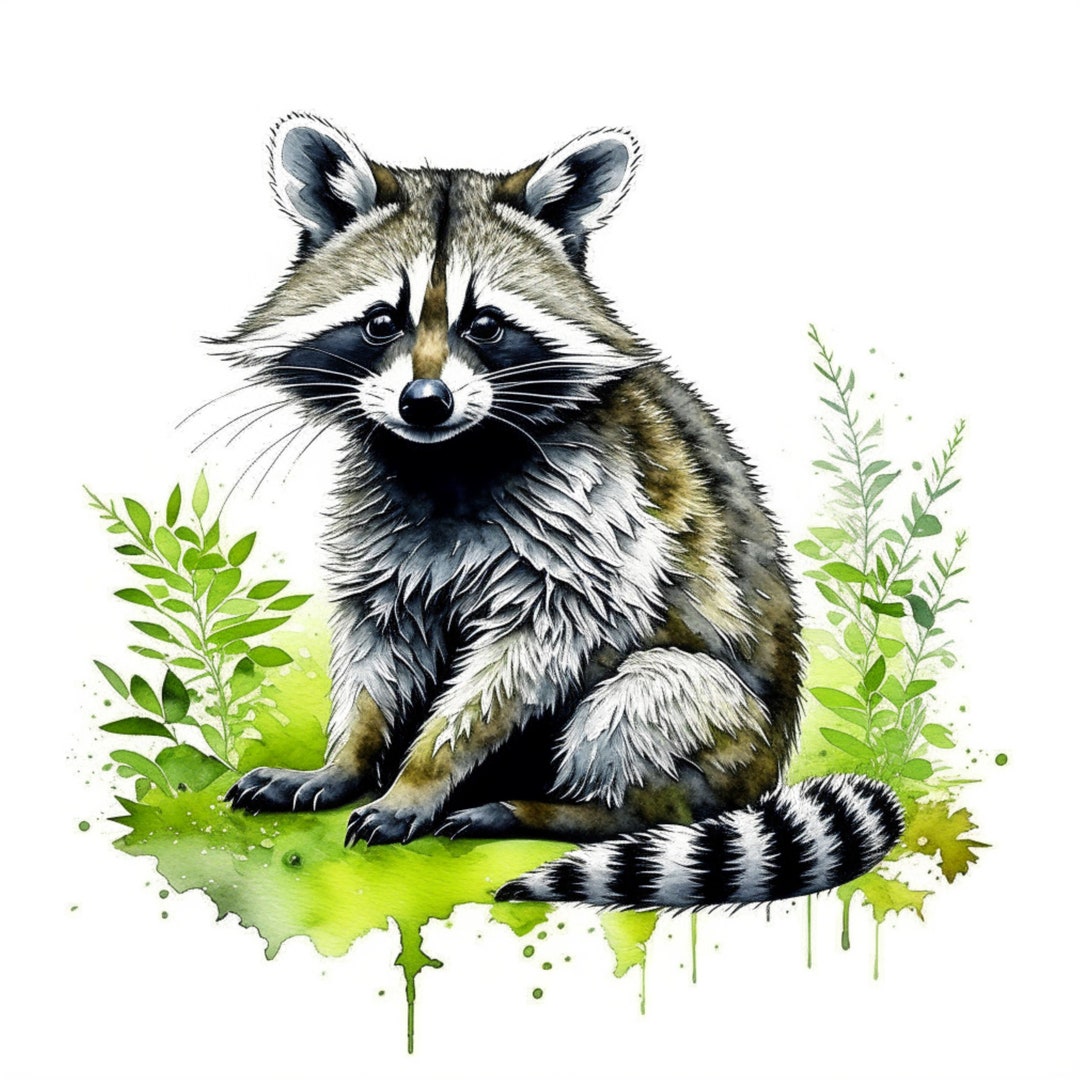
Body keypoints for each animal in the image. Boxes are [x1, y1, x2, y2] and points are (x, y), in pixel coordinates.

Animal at [221, 115, 903, 907]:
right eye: (381, 322)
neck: (442, 457)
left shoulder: (594, 522)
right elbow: (380, 639)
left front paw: (421, 775)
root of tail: (765, 774)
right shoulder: (381, 517)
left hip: (722, 728)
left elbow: (529, 654)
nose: (425, 403)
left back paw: (570, 809)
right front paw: (351, 760)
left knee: (655, 698)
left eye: (486, 324)